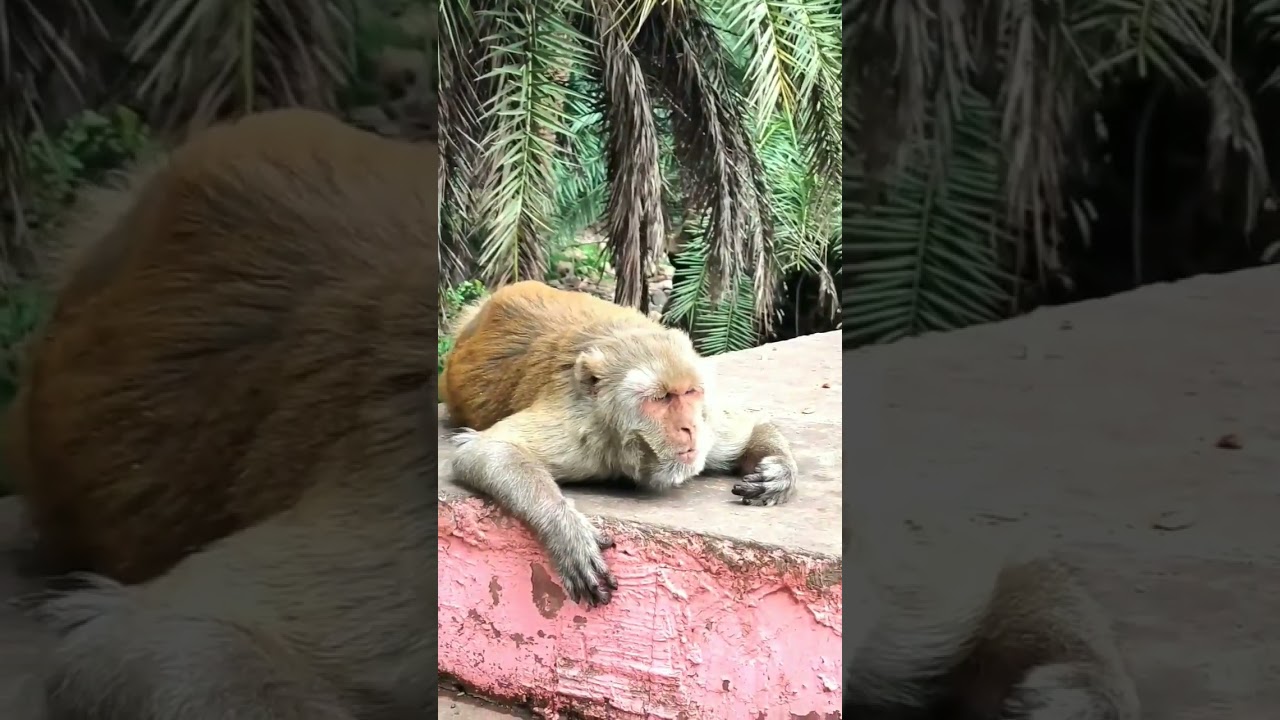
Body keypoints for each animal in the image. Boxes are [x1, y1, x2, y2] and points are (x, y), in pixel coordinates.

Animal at [439, 280, 800, 607]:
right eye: (660, 399)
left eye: (690, 392)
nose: (689, 427)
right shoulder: (578, 434)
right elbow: (482, 449)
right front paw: (567, 532)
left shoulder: (707, 425)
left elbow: (750, 429)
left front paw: (778, 472)